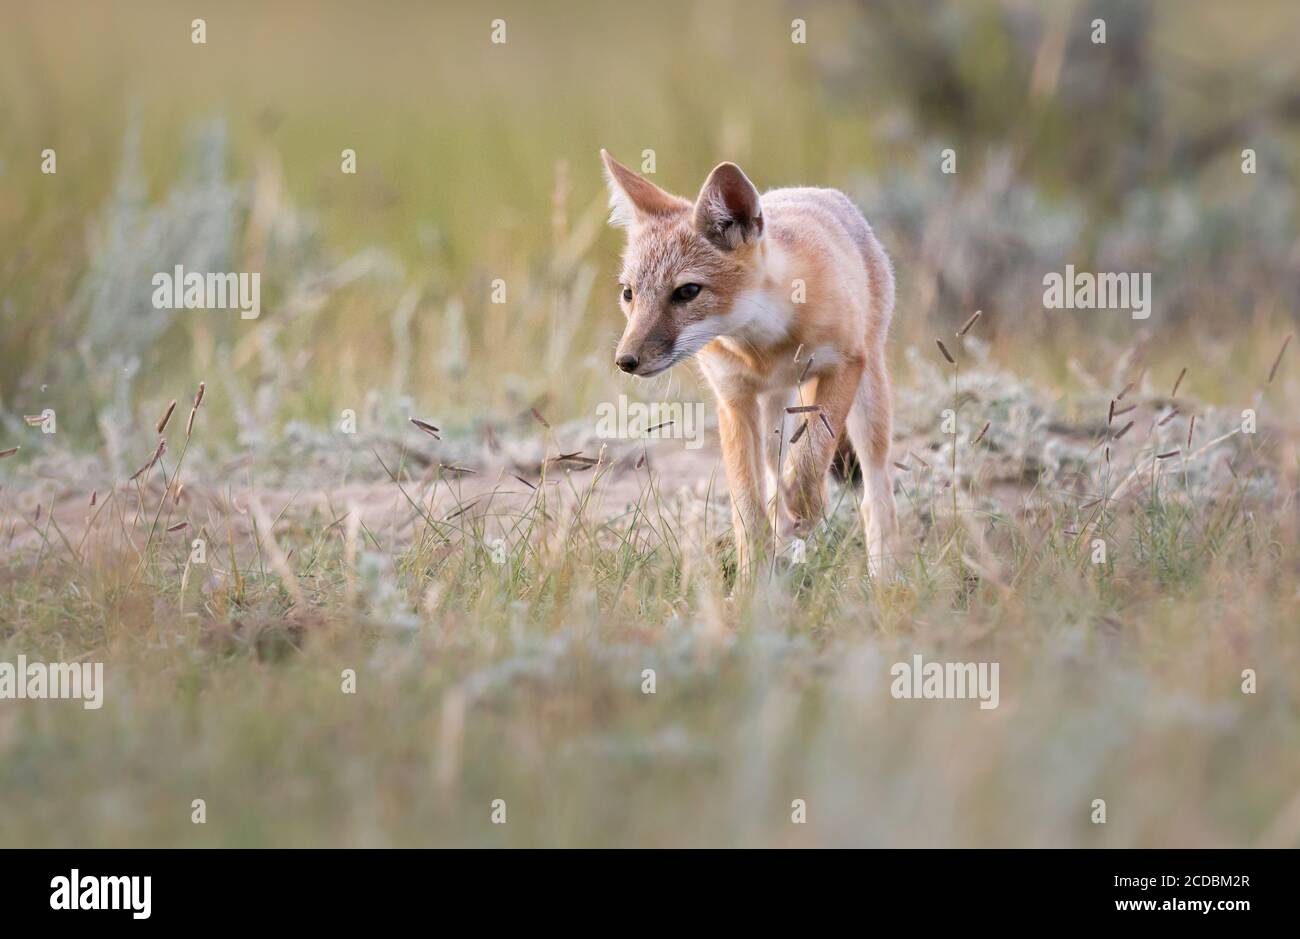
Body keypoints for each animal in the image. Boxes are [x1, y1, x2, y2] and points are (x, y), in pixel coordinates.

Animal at [600, 150, 899, 577]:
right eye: (629, 294)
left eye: (687, 292)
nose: (625, 360)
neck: (764, 346)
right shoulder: (734, 399)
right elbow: (748, 510)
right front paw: (750, 583)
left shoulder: (844, 366)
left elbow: (813, 455)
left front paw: (805, 505)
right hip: (774, 416)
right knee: (775, 481)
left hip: (867, 398)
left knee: (876, 495)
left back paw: (883, 577)